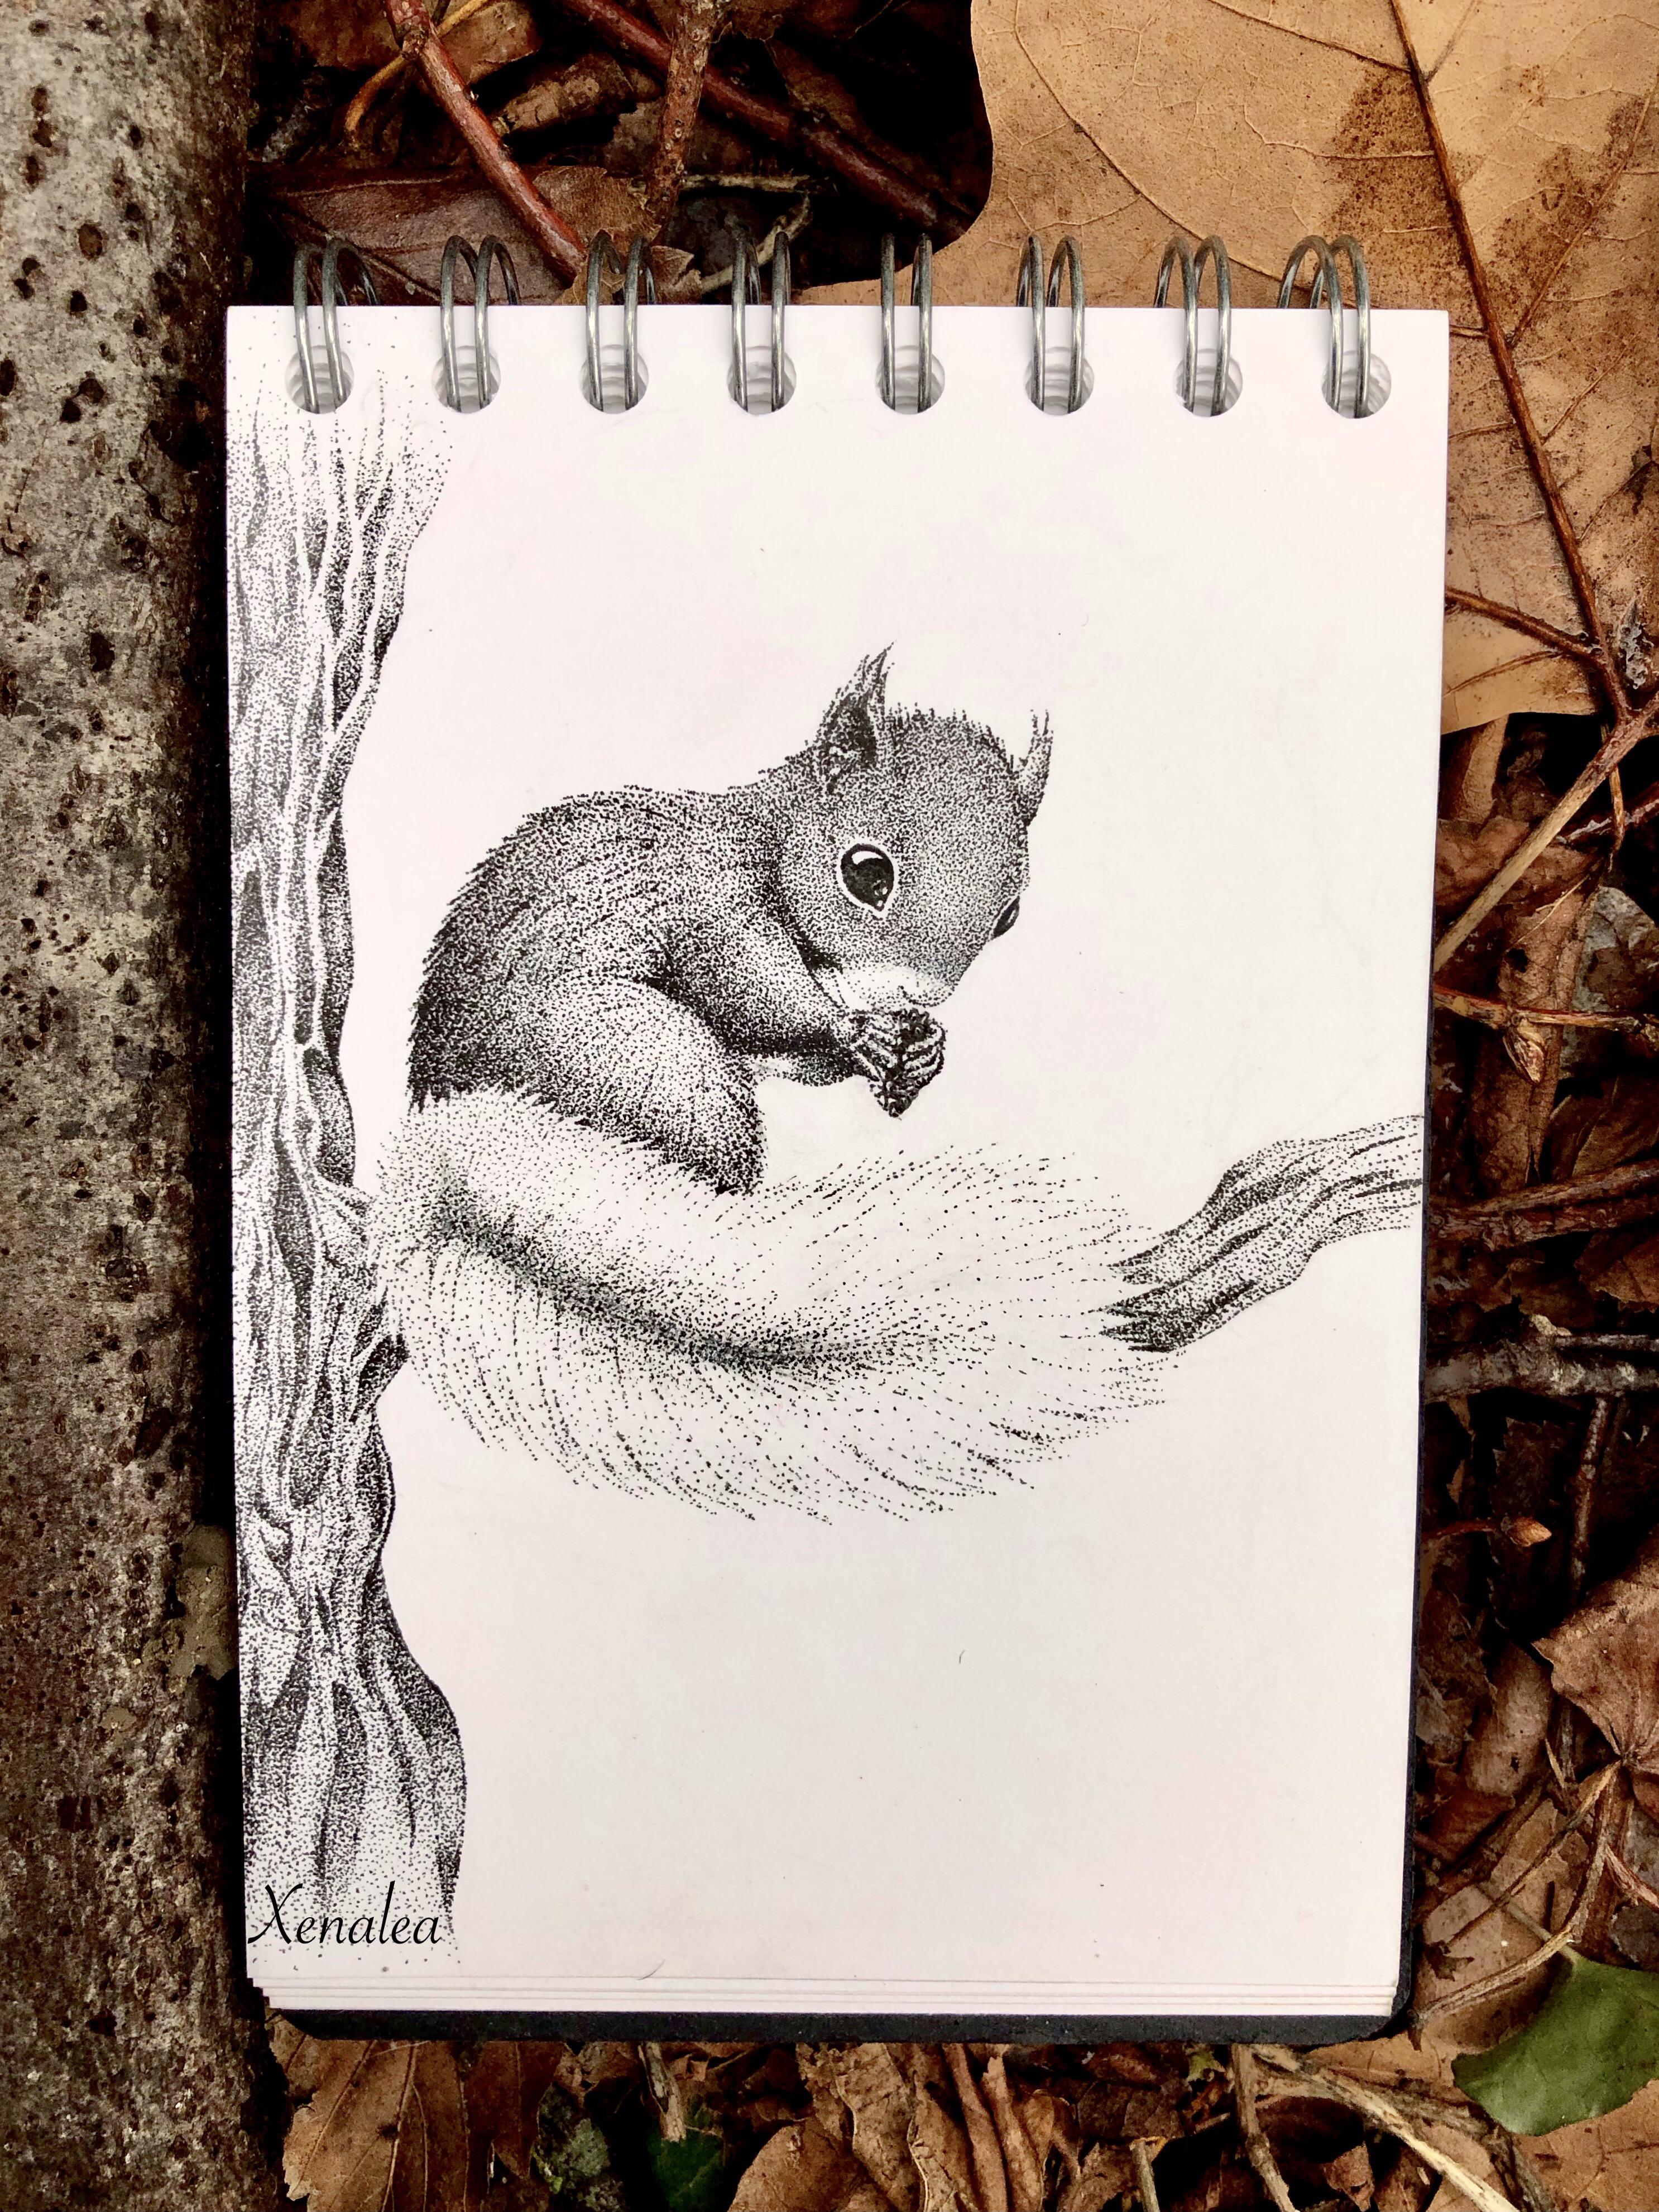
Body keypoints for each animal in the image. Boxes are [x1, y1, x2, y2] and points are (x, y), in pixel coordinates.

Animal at [369, 649, 1422, 1515]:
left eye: (1008, 914)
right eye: (865, 871)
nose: (914, 999)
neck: (765, 840)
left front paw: (916, 1053)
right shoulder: (713, 911)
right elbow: (750, 988)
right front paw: (857, 1030)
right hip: (648, 1061)